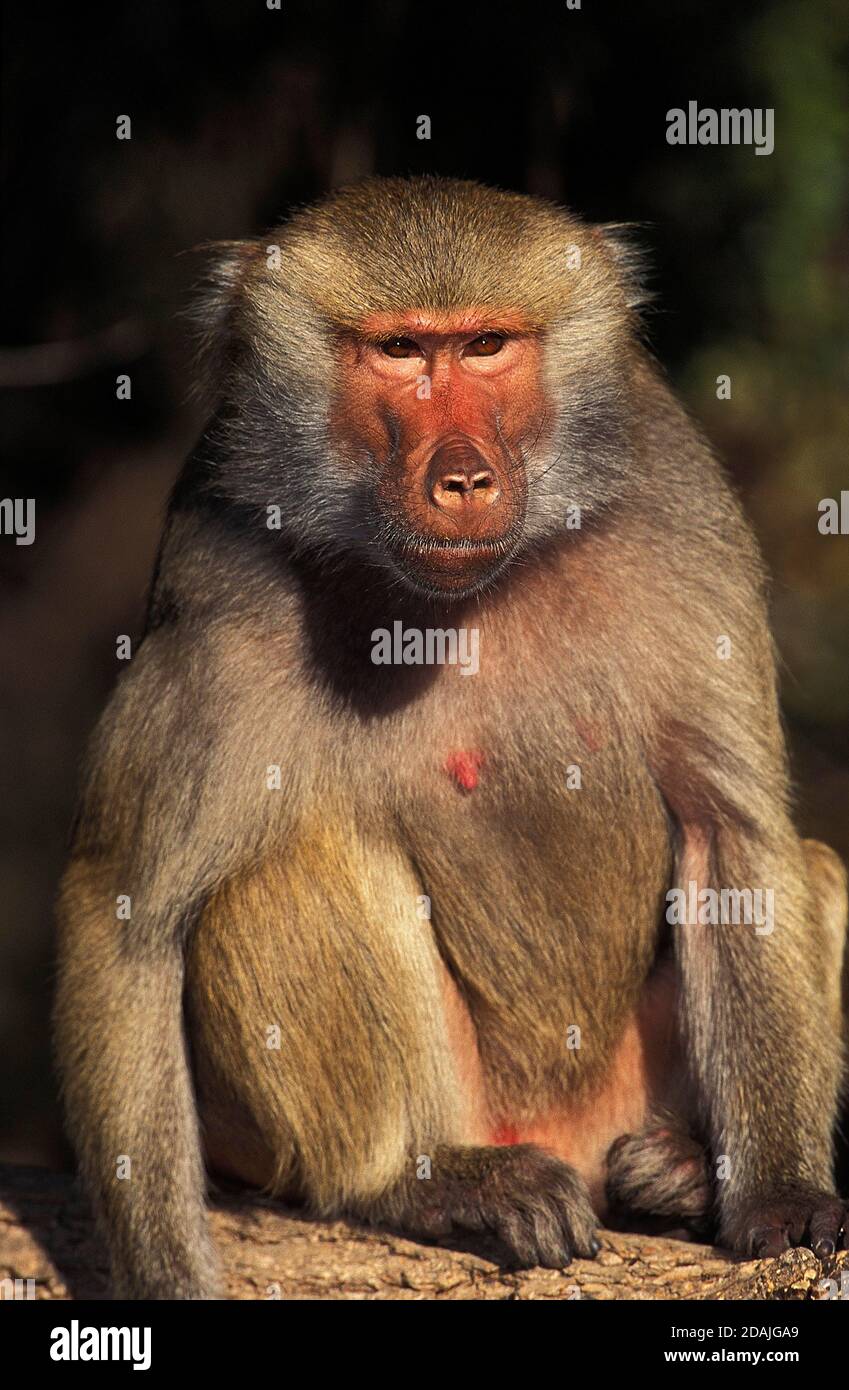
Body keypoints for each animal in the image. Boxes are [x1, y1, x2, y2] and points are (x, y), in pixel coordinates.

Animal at [54, 176, 848, 1299]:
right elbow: (124, 911)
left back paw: (684, 1171)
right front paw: (171, 1279)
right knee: (289, 870)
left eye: (484, 345)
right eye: (398, 352)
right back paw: (421, 1181)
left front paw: (774, 1194)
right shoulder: (219, 577)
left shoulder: (683, 519)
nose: (464, 480)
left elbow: (734, 836)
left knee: (814, 866)